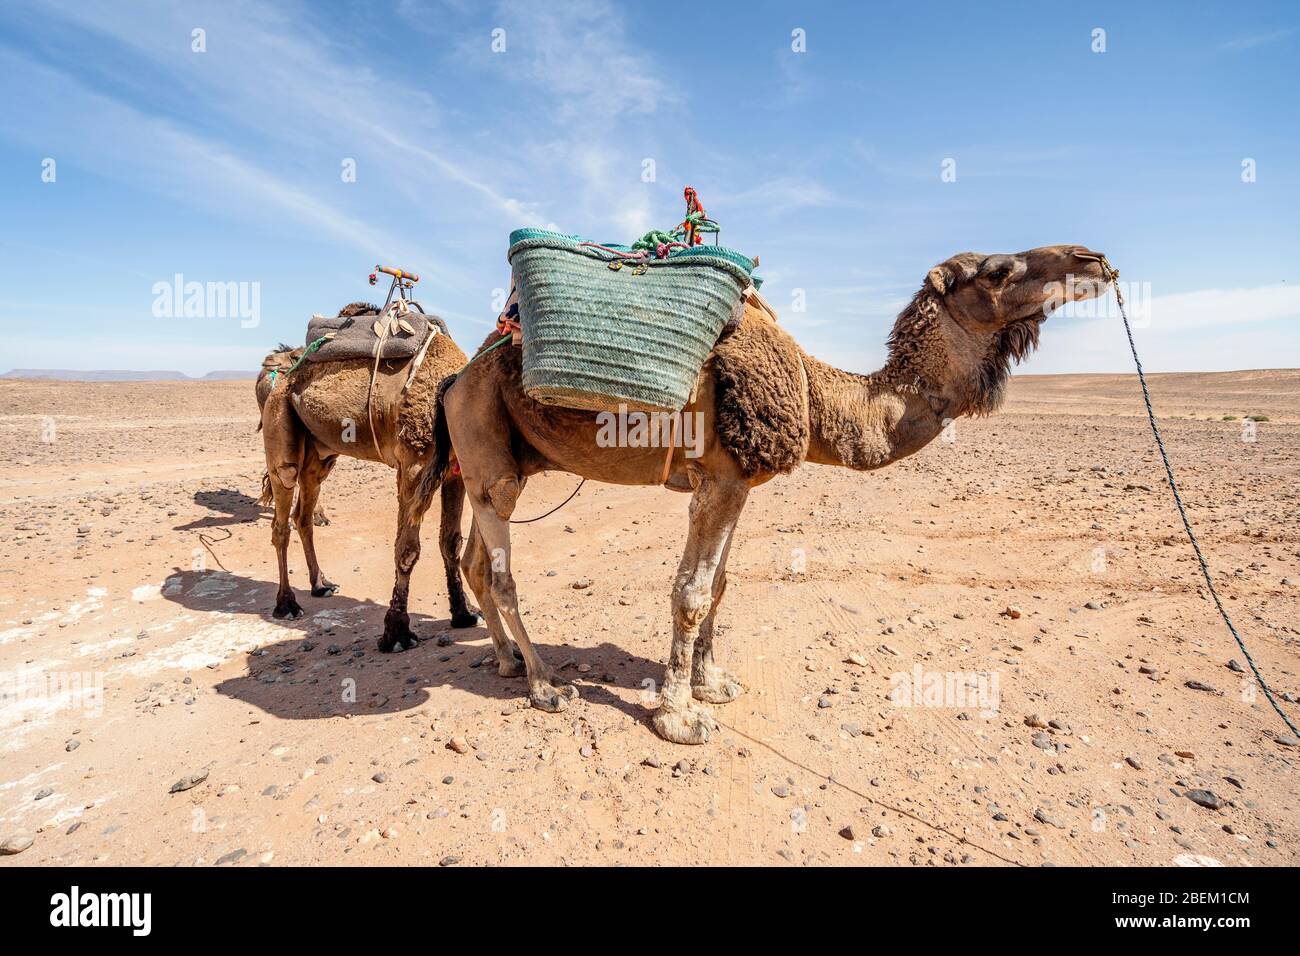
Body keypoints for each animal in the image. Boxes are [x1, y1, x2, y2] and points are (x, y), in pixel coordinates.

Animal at [256, 302, 479, 651]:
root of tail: (282, 376)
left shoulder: (454, 470)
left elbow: (451, 541)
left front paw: (464, 613)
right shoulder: (414, 465)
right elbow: (407, 548)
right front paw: (397, 633)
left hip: (320, 453)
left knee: (303, 515)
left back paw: (321, 584)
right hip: (281, 425)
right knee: (281, 516)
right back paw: (287, 604)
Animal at [430, 245, 1110, 744]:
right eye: (998, 269)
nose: (1093, 260)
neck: (811, 392)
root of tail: (453, 379)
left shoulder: (737, 482)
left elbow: (720, 586)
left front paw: (711, 683)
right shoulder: (719, 481)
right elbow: (691, 593)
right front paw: (678, 717)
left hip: (501, 460)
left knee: (475, 561)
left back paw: (506, 660)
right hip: (487, 452)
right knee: (501, 573)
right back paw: (544, 685)